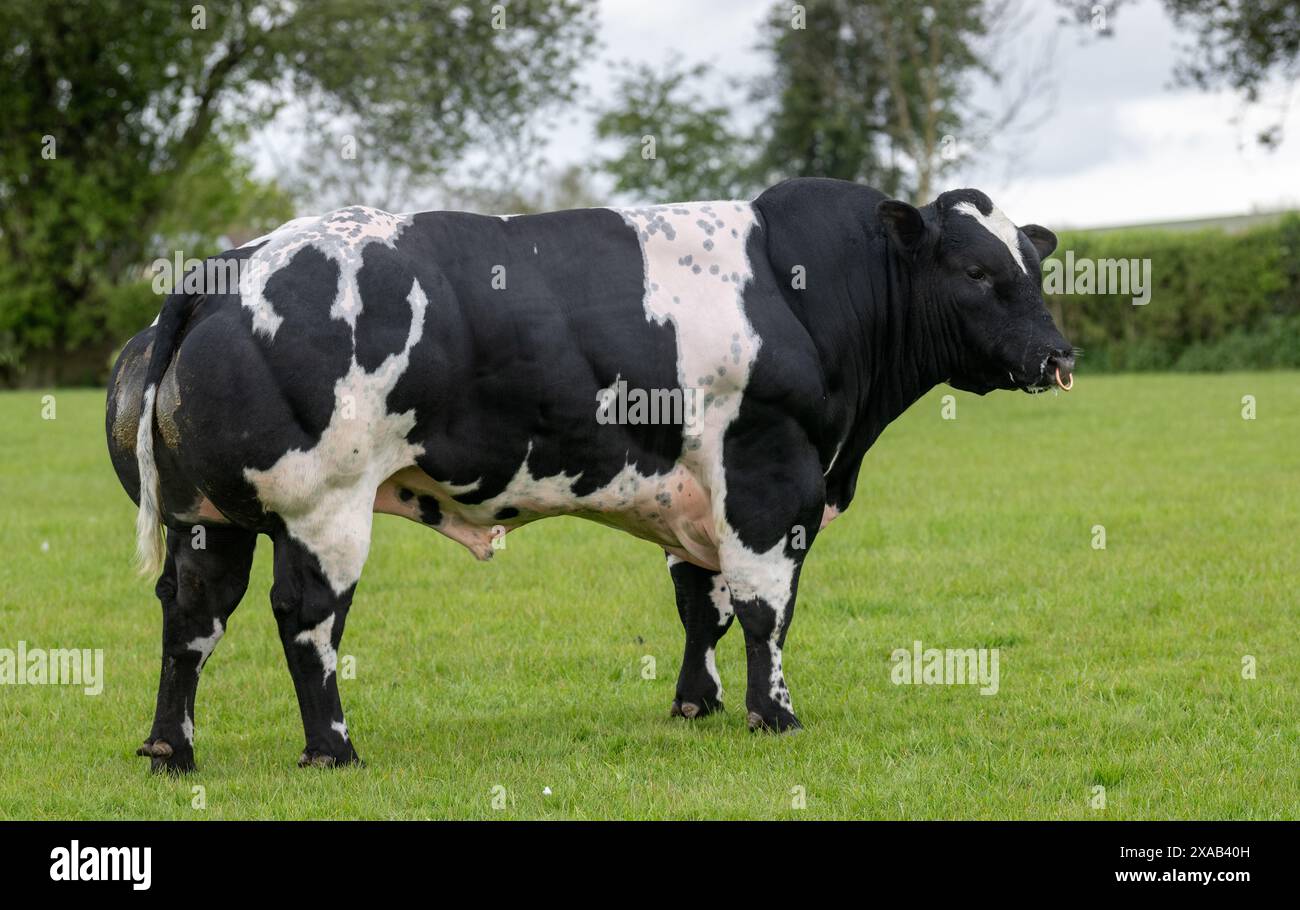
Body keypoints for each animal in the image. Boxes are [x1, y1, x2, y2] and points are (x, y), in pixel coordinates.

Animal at [106, 178, 1073, 773]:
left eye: (1035, 265)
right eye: (977, 271)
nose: (1059, 356)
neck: (804, 290)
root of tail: (223, 271)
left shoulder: (696, 495)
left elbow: (702, 606)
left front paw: (696, 706)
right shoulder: (768, 475)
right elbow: (765, 608)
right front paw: (775, 716)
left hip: (210, 519)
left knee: (190, 619)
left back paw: (170, 750)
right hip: (324, 509)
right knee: (306, 622)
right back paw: (333, 750)